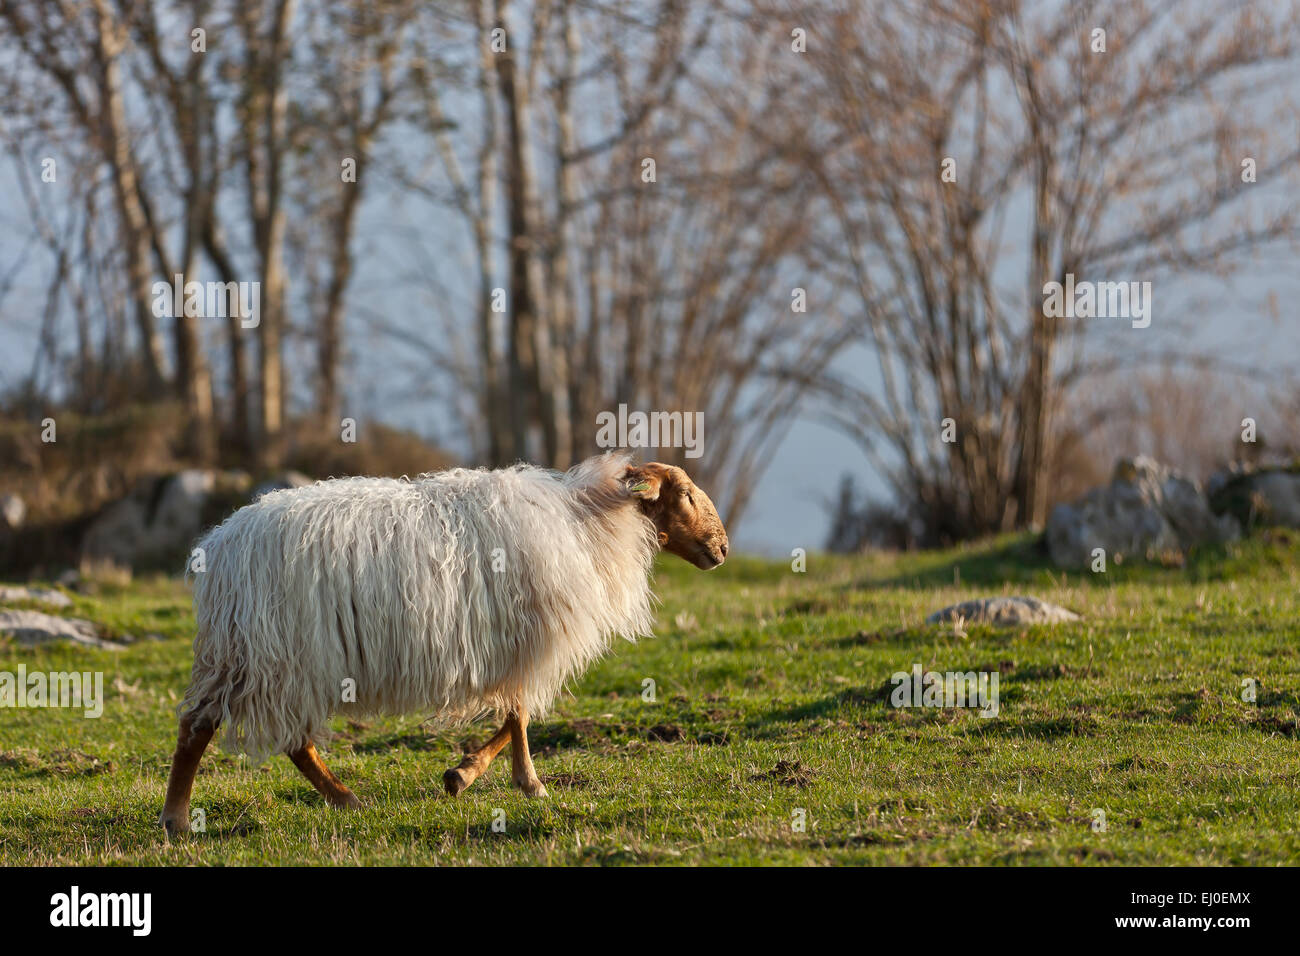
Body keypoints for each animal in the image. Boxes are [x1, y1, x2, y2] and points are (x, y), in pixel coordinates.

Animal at [159, 452, 728, 834]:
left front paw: (463, 774)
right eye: (687, 495)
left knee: (230, 729)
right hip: (279, 654)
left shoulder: (513, 644)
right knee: (223, 729)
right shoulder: (524, 638)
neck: (588, 525)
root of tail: (221, 548)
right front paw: (523, 782)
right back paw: (182, 818)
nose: (723, 549)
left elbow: (513, 715)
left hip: (247, 653)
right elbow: (519, 715)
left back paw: (337, 800)